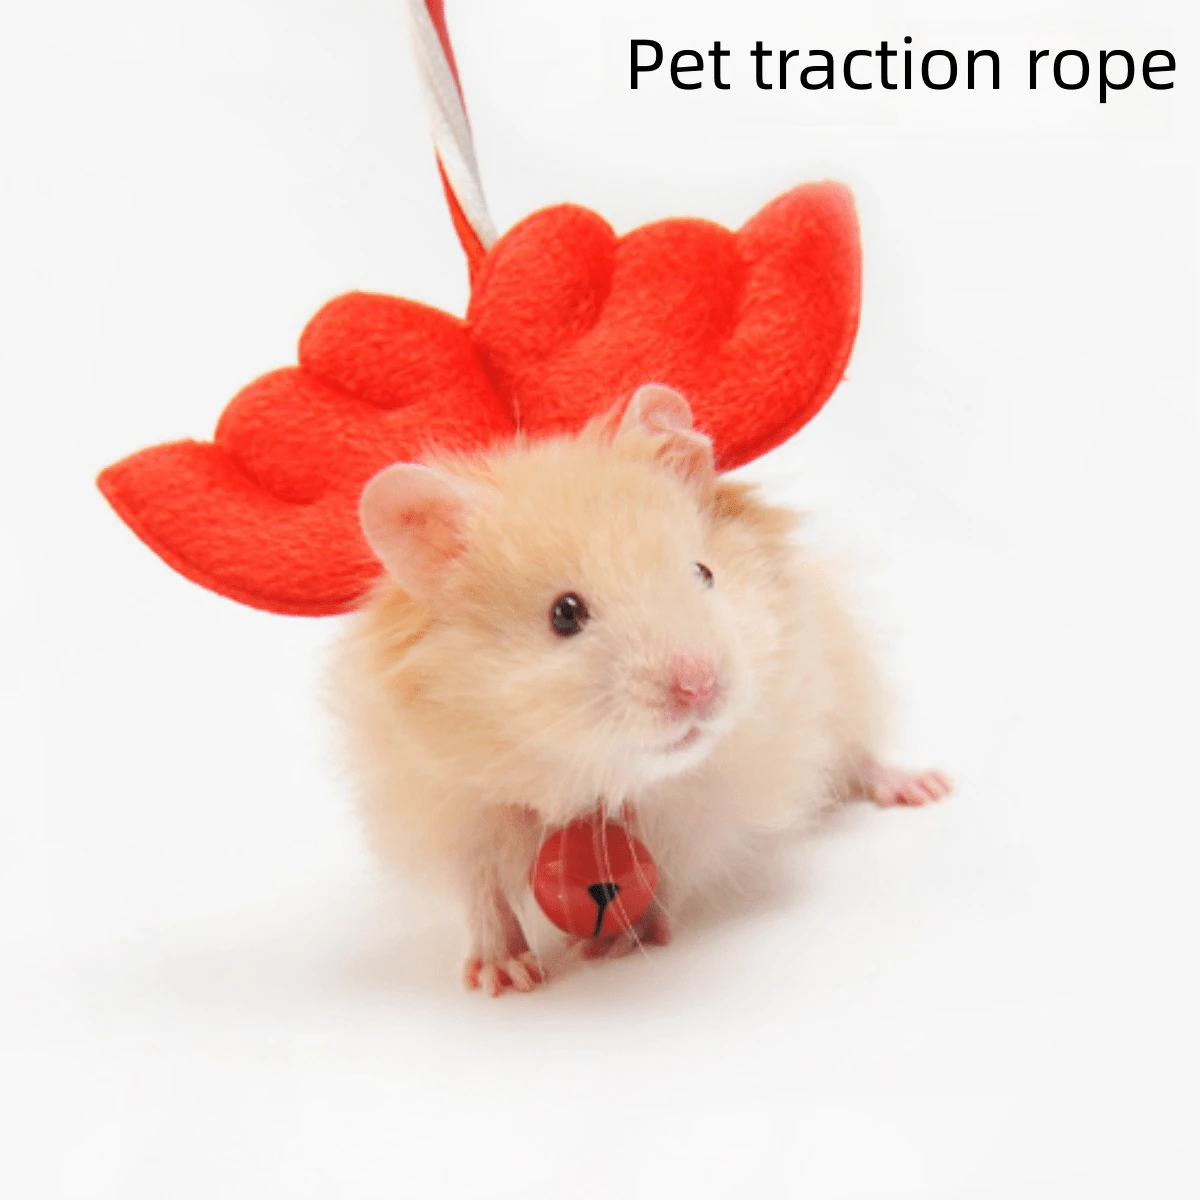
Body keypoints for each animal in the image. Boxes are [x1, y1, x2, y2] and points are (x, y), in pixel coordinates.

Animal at [328, 384, 950, 995]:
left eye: (703, 572)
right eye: (565, 613)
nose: (701, 686)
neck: (589, 773)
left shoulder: (705, 805)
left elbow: (669, 873)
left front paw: (615, 946)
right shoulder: (446, 802)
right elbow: (483, 895)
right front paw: (503, 979)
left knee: (858, 752)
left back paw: (925, 787)